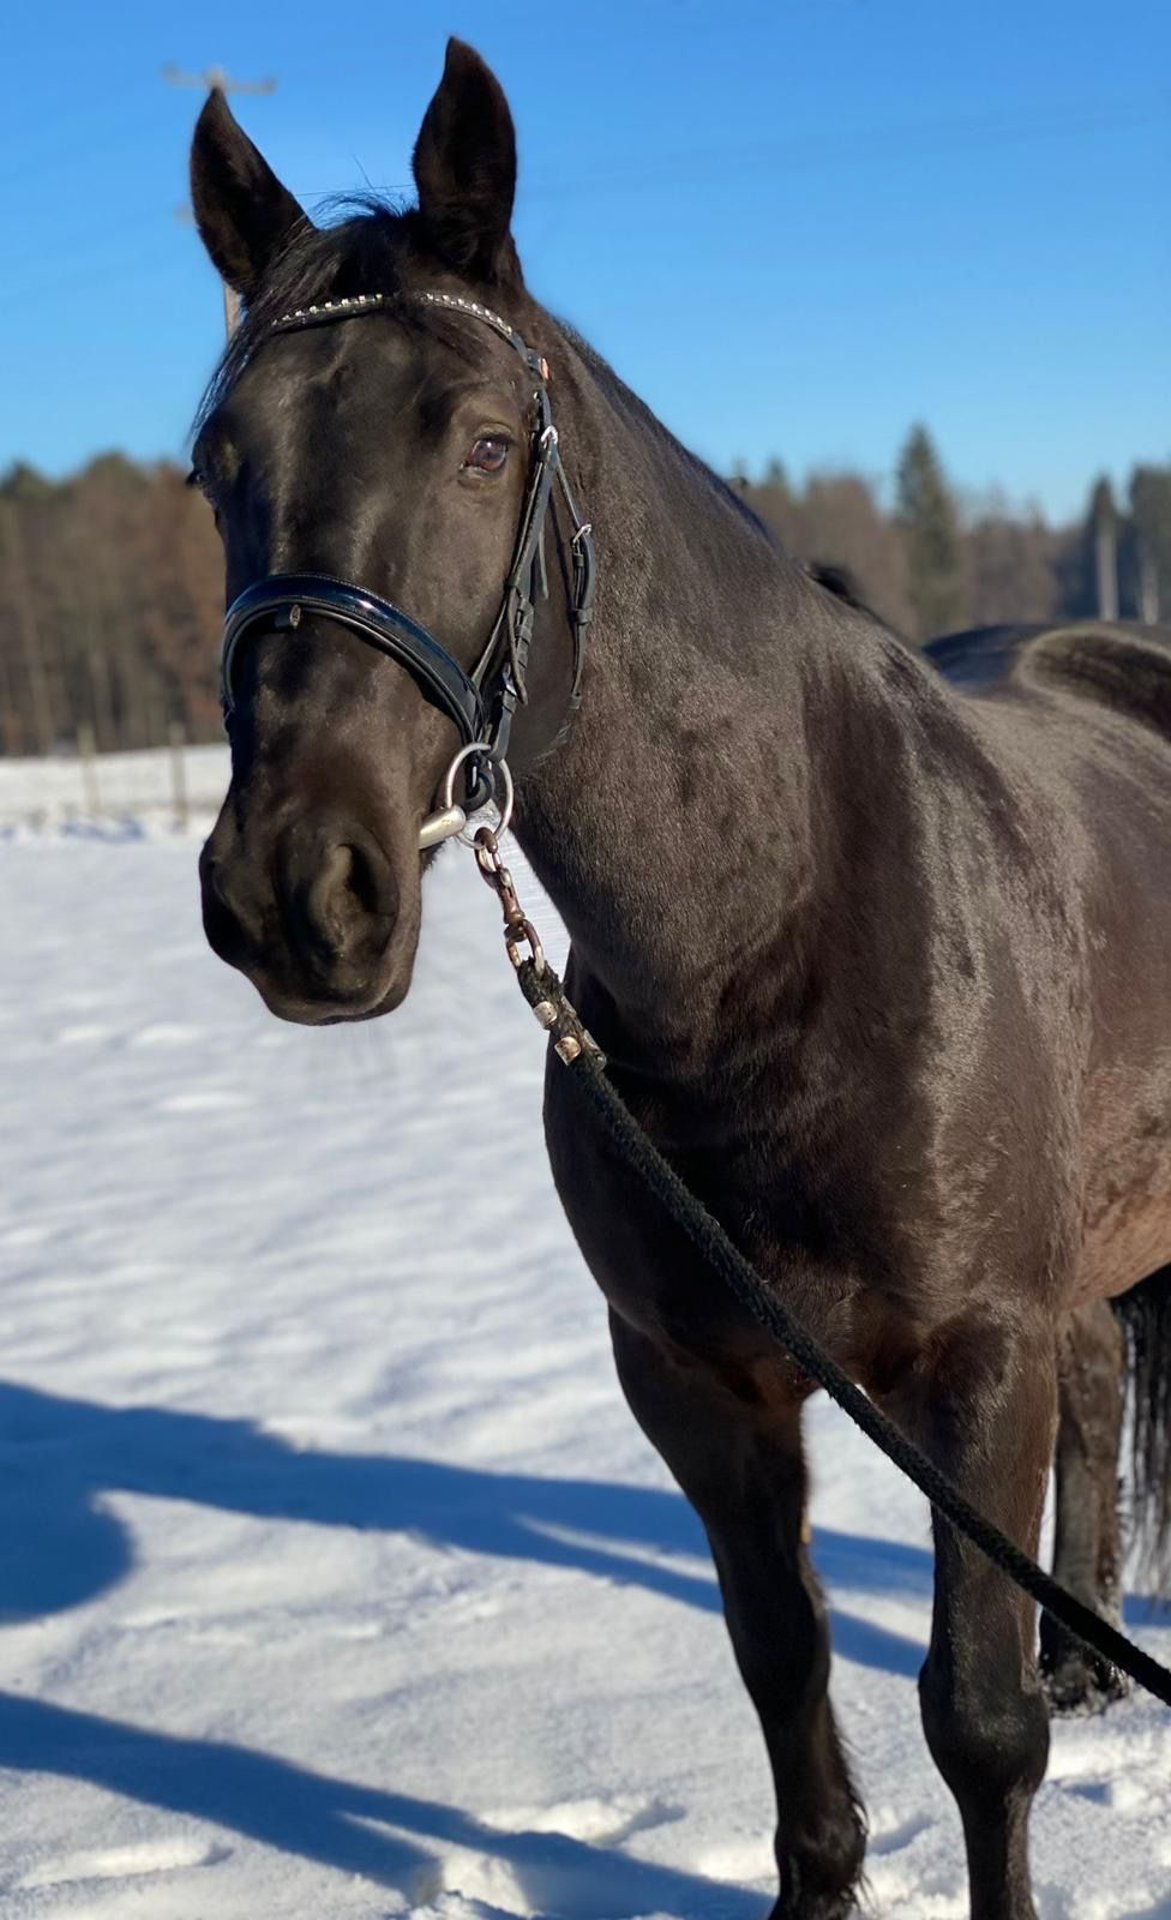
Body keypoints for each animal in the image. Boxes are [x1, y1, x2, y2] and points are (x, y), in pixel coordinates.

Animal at [188, 41, 1171, 1919]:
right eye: (216, 463)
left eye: (486, 443)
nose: (292, 892)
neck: (781, 943)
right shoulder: (692, 1382)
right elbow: (780, 1666)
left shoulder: (973, 1366)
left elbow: (977, 1725)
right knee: (1103, 1370)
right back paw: (1094, 1650)